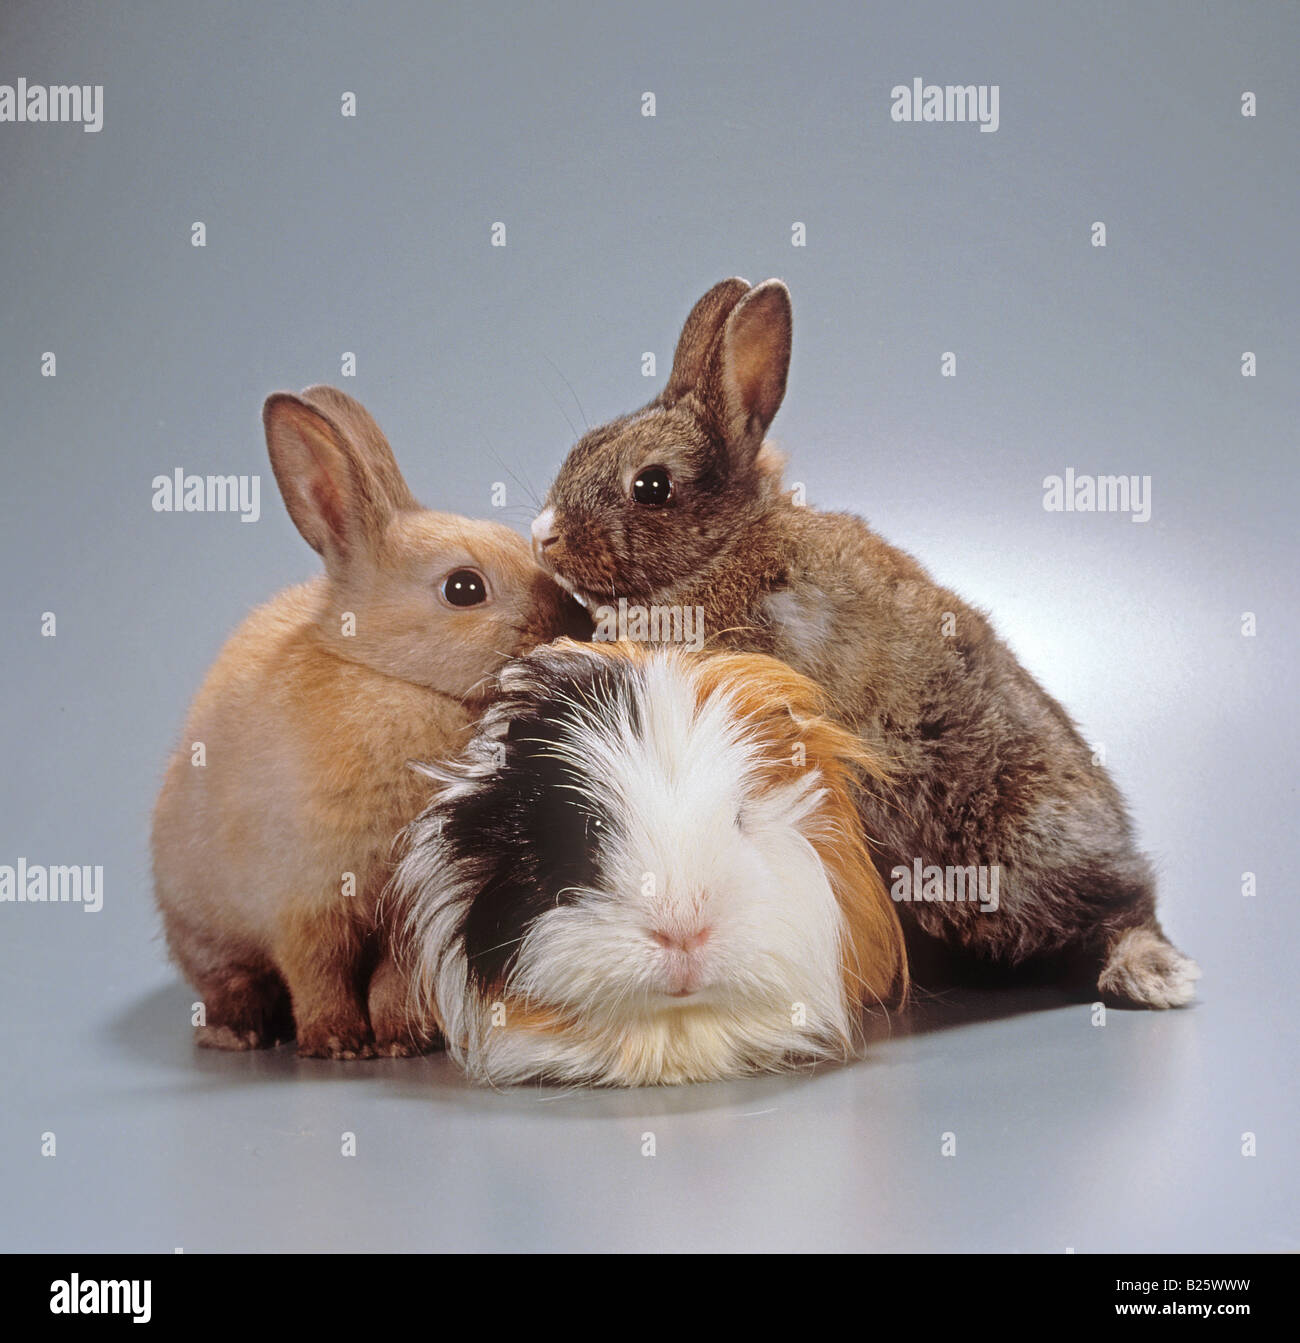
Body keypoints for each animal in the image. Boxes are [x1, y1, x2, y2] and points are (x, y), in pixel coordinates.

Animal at [151, 385, 590, 1059]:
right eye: (463, 589)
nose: (580, 623)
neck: (393, 677)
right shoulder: (305, 903)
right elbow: (317, 972)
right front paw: (335, 1043)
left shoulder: (410, 915)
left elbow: (394, 980)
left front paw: (402, 1040)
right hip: (201, 926)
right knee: (232, 978)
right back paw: (237, 1031)